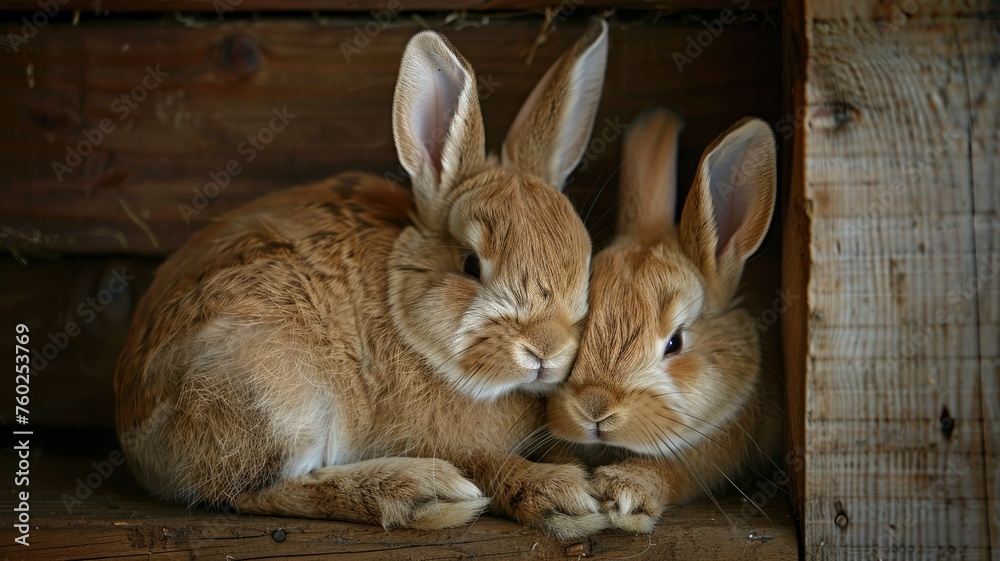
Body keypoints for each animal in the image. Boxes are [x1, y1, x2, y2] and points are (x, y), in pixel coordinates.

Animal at [114, 20, 613, 539]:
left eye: (583, 264)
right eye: (471, 265)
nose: (546, 349)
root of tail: (134, 435)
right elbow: (487, 463)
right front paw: (563, 495)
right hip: (278, 396)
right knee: (252, 491)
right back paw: (419, 492)